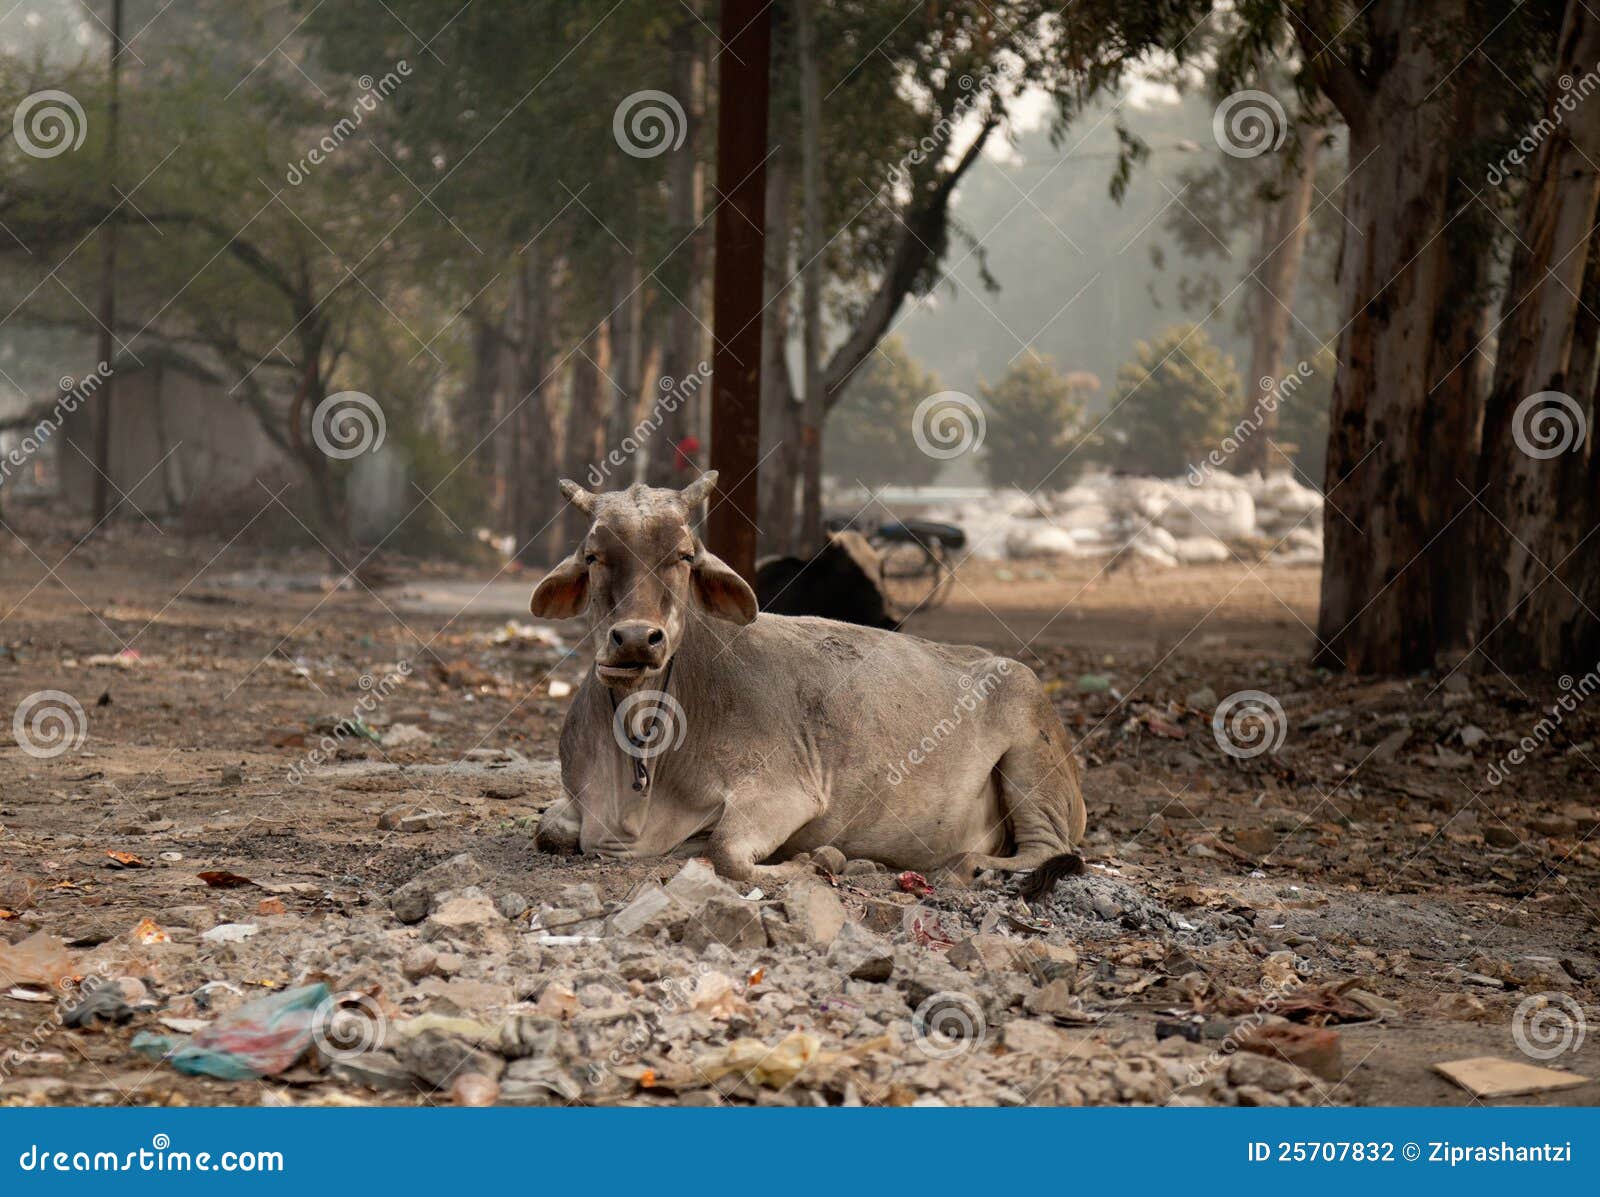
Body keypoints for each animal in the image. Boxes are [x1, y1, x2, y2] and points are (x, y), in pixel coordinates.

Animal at [529, 473, 1086, 884]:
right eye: (594, 555)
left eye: (684, 556)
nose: (636, 639)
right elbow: (548, 830)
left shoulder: (787, 793)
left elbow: (727, 853)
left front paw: (817, 860)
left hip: (1034, 755)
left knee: (1045, 849)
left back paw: (961, 865)